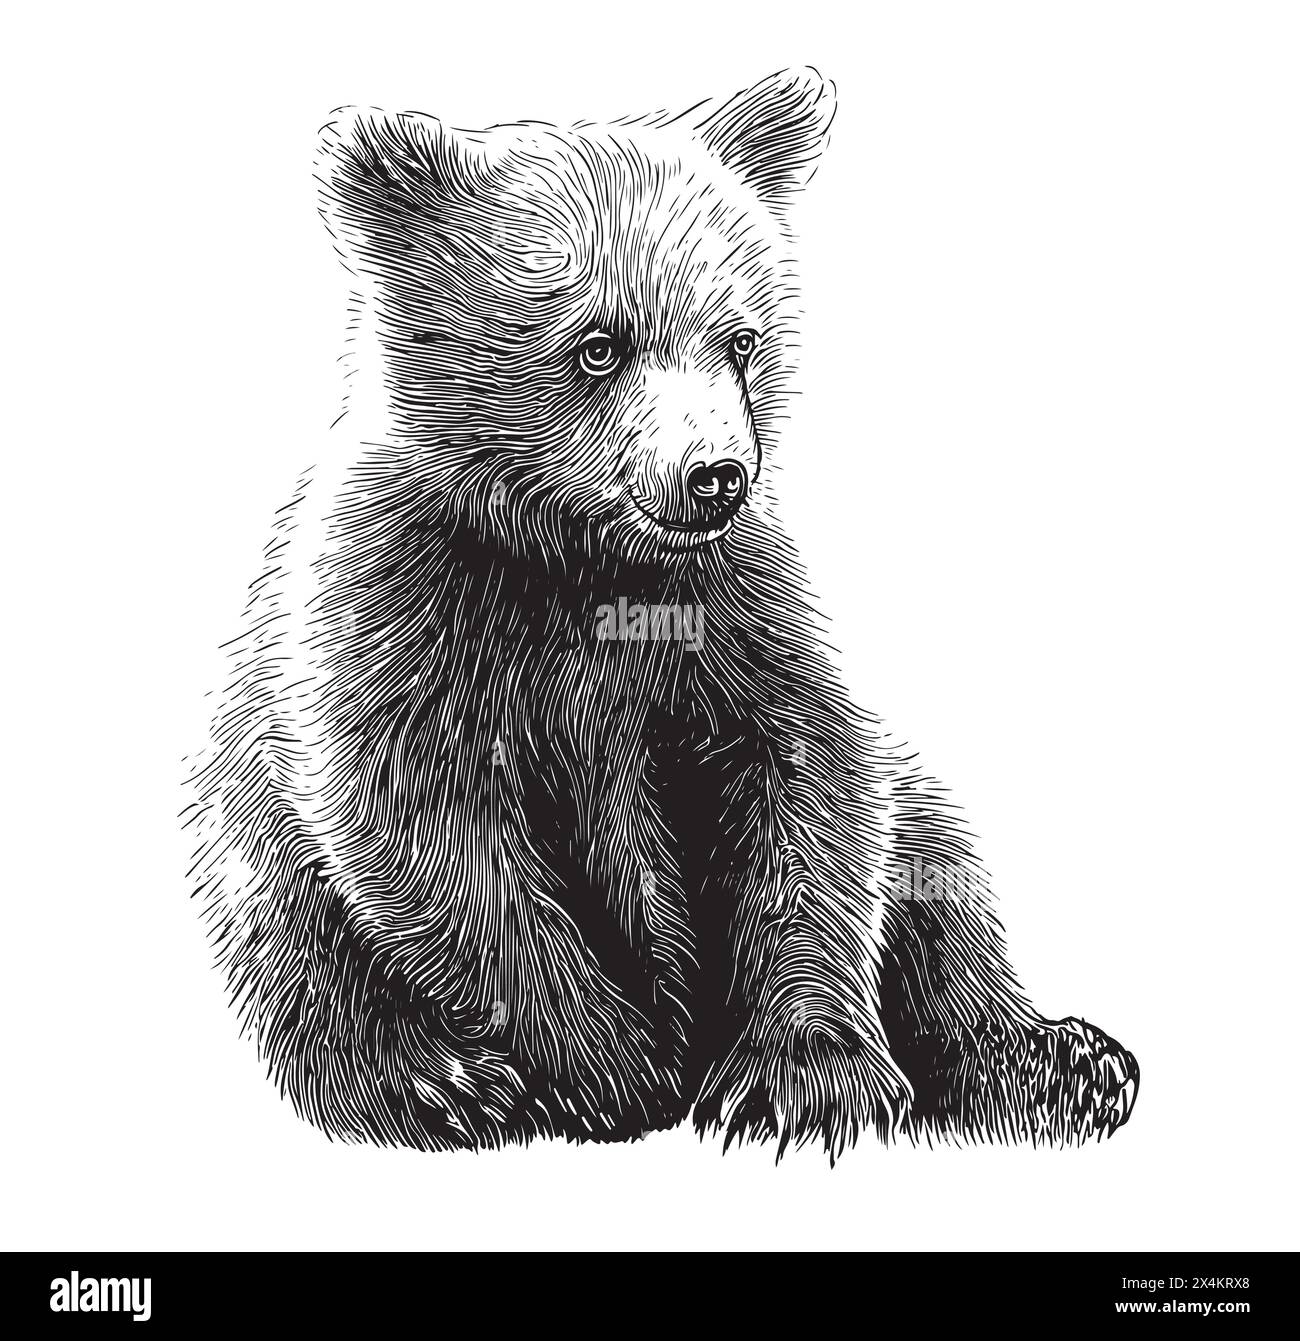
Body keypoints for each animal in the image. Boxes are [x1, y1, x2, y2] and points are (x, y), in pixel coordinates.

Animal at [185, 68, 1138, 1157]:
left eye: (741, 338)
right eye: (598, 344)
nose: (713, 473)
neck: (586, 556)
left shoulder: (735, 610)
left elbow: (807, 785)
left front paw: (798, 1079)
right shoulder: (401, 604)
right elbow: (432, 829)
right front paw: (613, 1066)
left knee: (944, 872)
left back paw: (1055, 1061)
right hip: (248, 846)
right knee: (300, 953)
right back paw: (439, 1083)